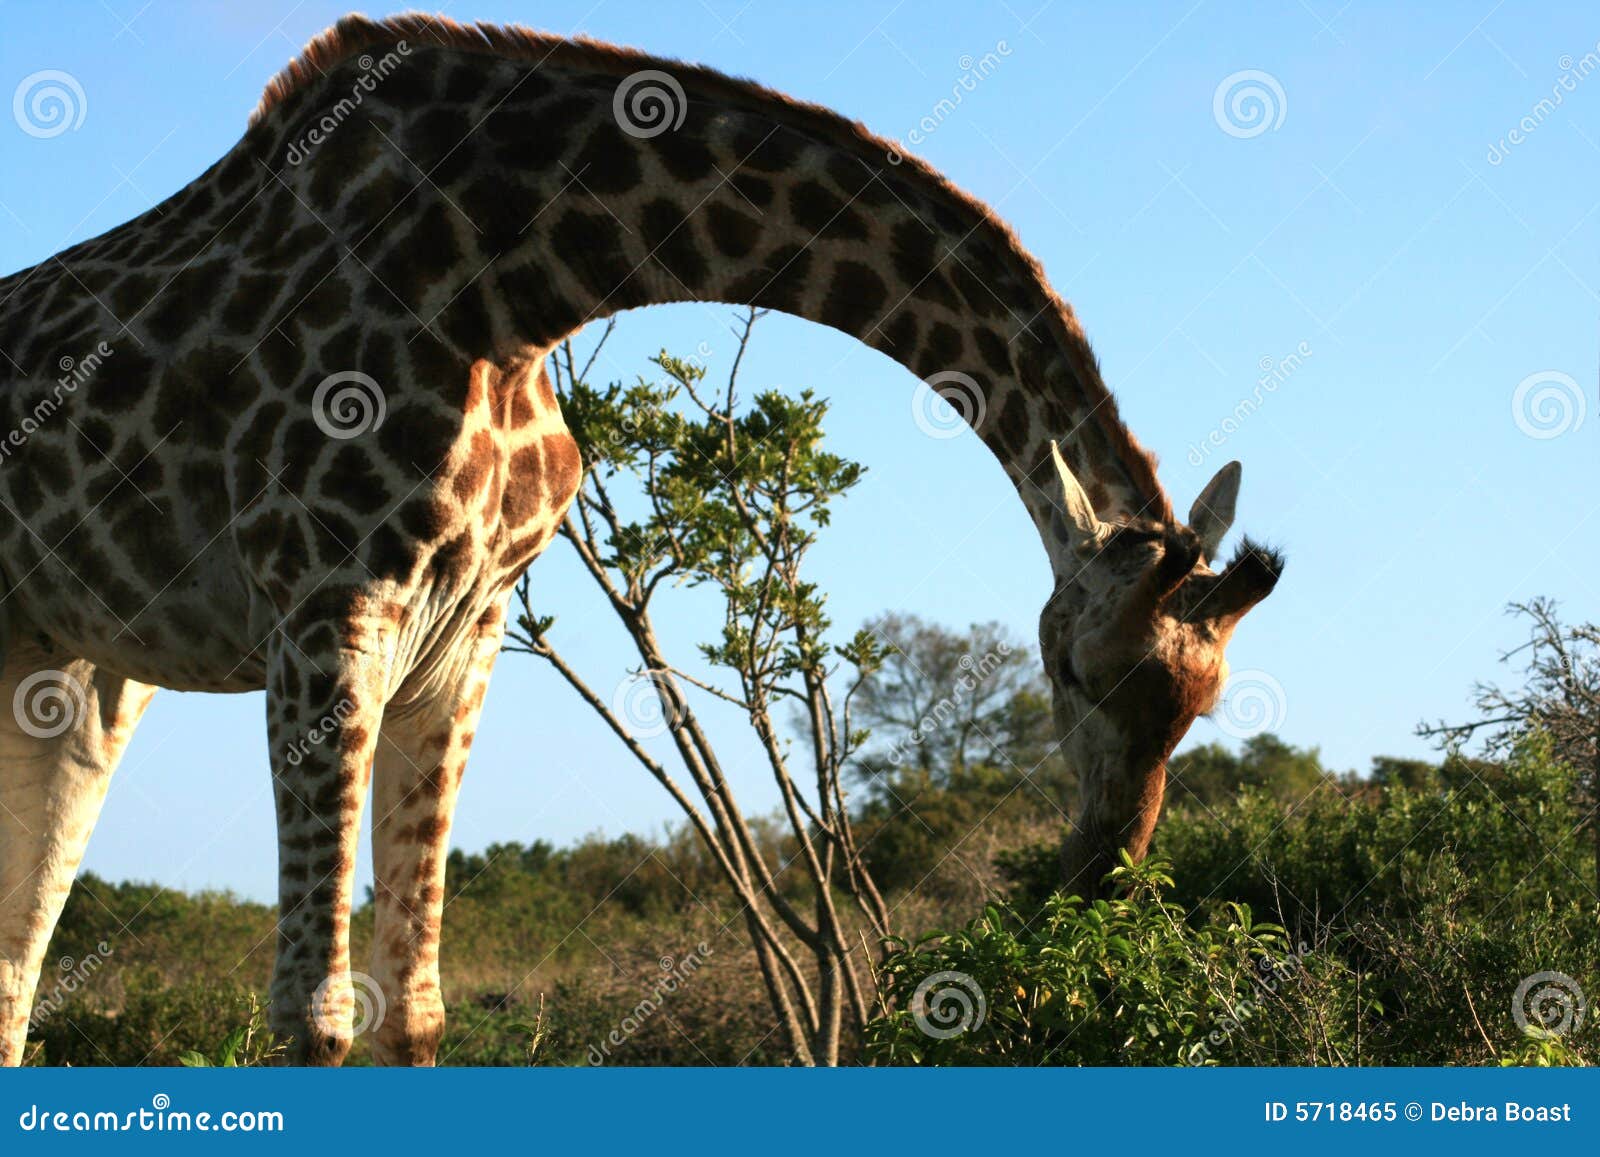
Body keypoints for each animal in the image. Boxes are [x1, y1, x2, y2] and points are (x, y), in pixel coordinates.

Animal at [0, 14, 1280, 1066]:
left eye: (1200, 705)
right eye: (1069, 669)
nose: (1097, 877)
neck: (515, 278)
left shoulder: (459, 636)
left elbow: (415, 1008)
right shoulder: (325, 603)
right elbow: (312, 1011)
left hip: (77, 671)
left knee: (20, 964)